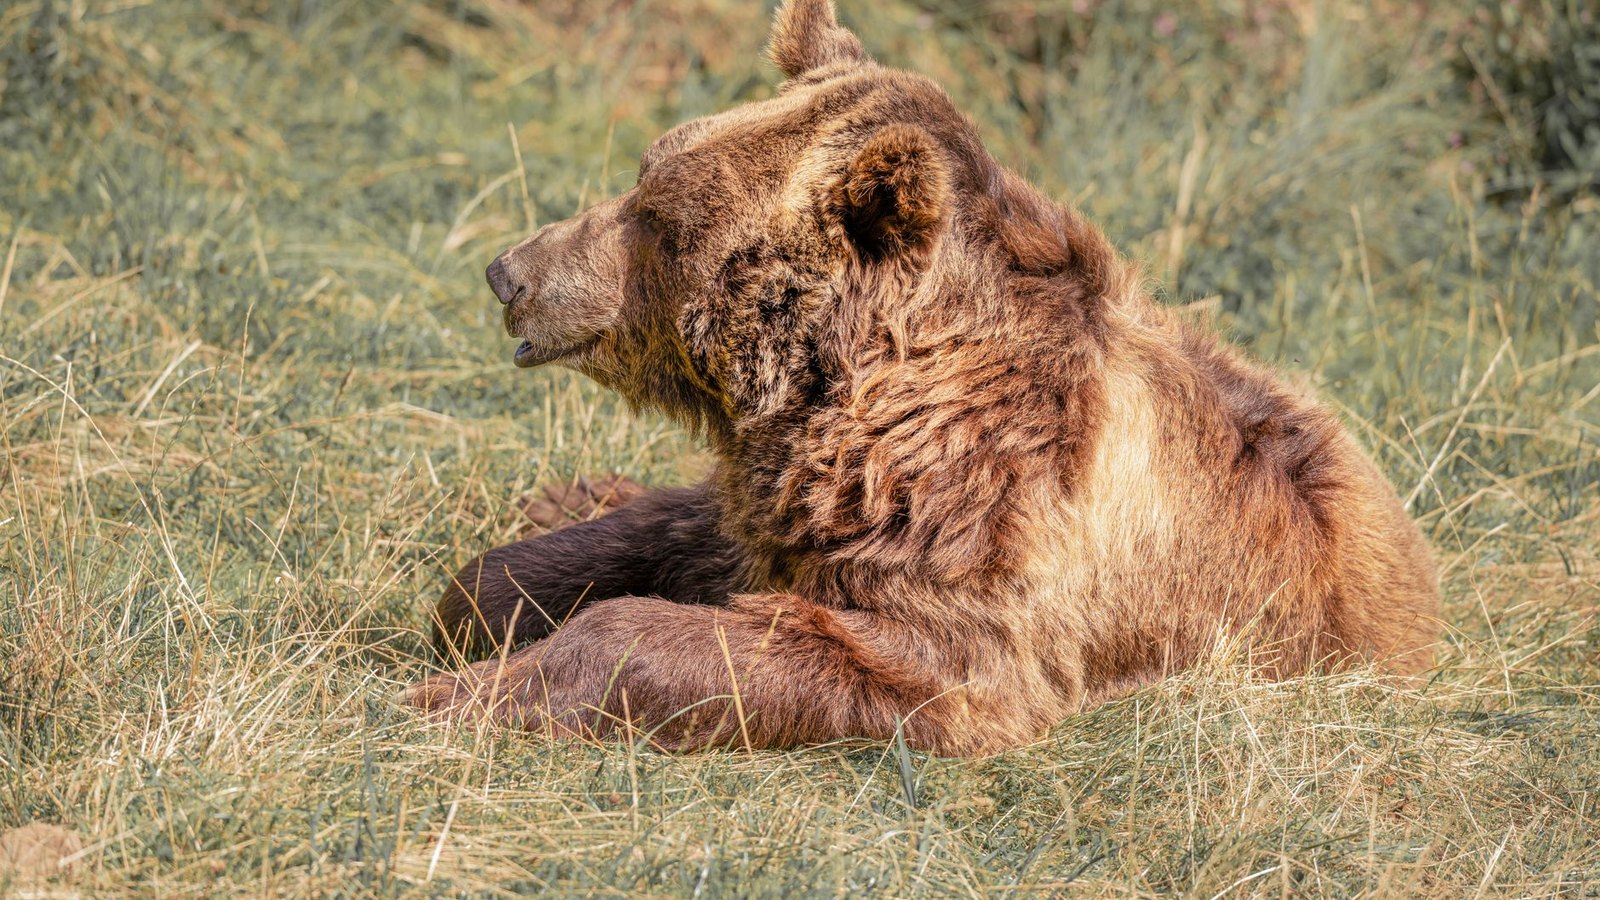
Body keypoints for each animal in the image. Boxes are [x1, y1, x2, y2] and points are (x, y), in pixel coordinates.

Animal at [404, 0, 1440, 756]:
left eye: (658, 219)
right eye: (645, 173)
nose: (511, 273)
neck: (866, 396)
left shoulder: (976, 547)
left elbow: (858, 650)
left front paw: (462, 691)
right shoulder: (797, 493)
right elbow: (634, 539)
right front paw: (486, 604)